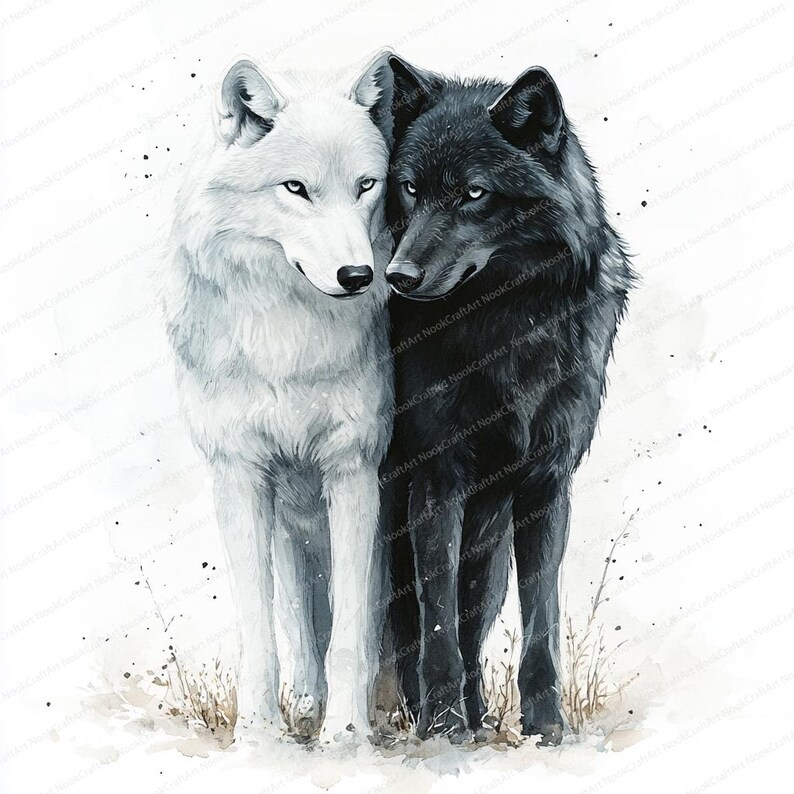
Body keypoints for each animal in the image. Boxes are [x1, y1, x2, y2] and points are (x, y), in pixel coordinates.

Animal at [163, 53, 395, 742]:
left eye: (367, 185)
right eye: (296, 189)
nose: (358, 276)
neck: (286, 340)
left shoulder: (354, 471)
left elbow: (351, 633)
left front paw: (347, 737)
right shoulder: (240, 474)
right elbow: (263, 631)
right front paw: (260, 736)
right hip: (290, 521)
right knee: (297, 617)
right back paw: (305, 705)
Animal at [381, 56, 633, 745]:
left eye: (474, 193)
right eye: (408, 188)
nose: (398, 277)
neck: (505, 322)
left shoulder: (546, 484)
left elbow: (540, 620)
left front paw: (547, 728)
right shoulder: (436, 481)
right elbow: (437, 625)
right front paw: (442, 732)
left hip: (489, 557)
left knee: (471, 634)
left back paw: (479, 719)